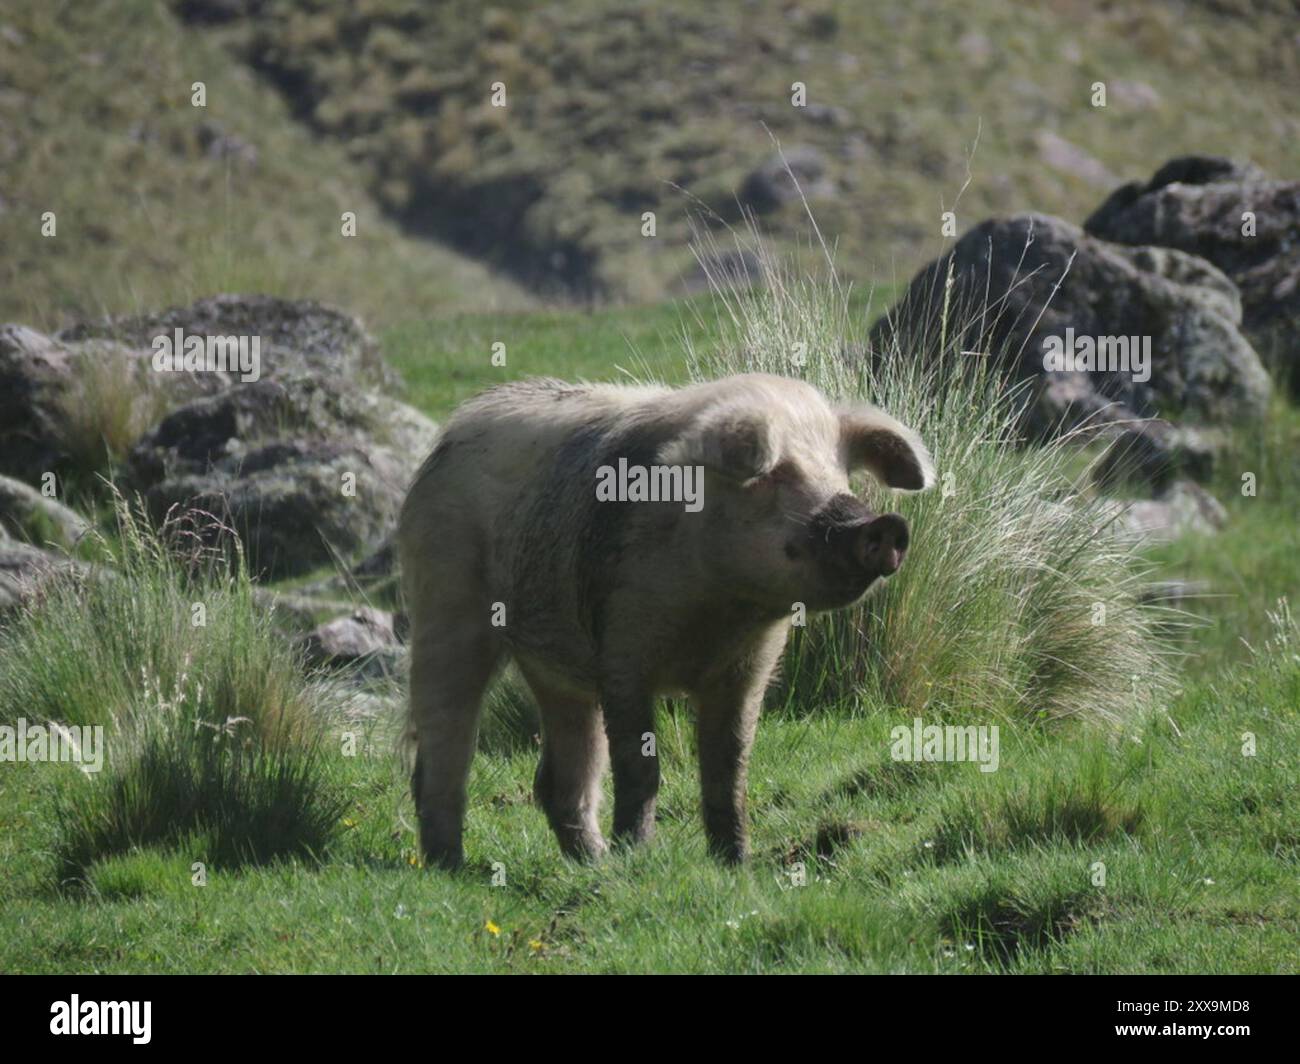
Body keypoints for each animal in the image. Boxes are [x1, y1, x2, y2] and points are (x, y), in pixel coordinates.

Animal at [399, 373, 934, 868]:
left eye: (841, 473)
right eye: (773, 475)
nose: (884, 525)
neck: (719, 612)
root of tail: (453, 430)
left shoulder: (751, 666)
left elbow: (729, 767)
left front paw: (736, 864)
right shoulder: (621, 646)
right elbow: (639, 765)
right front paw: (636, 858)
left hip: (554, 662)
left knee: (558, 774)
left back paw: (591, 862)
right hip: (444, 600)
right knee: (444, 749)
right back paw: (450, 865)